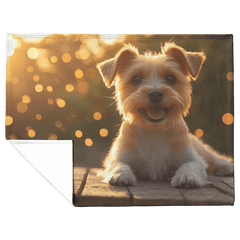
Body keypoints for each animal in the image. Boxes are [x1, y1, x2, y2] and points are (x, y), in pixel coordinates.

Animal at [96, 42, 233, 188]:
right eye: (136, 79)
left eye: (171, 78)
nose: (155, 94)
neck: (154, 131)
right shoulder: (120, 156)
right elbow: (118, 164)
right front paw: (120, 174)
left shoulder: (194, 158)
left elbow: (190, 165)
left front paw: (186, 176)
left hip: (205, 152)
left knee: (217, 159)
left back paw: (227, 167)